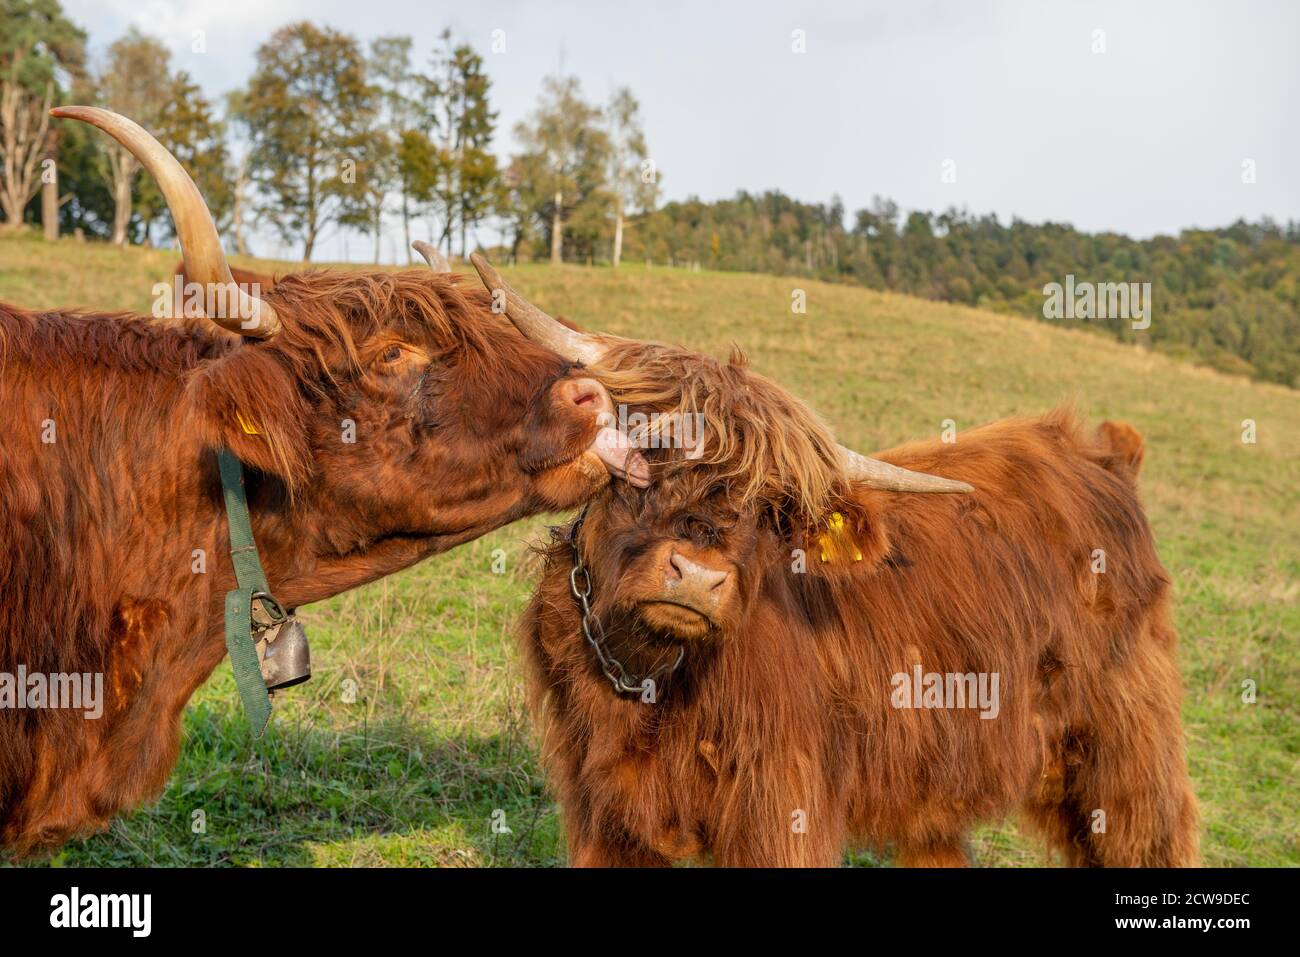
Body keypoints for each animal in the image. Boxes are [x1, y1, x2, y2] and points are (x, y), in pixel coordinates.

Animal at [472, 266, 1199, 868]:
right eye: (647, 449)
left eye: (774, 509)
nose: (699, 577)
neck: (649, 682)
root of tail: (1103, 453)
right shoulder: (603, 812)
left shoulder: (780, 810)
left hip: (1124, 750)